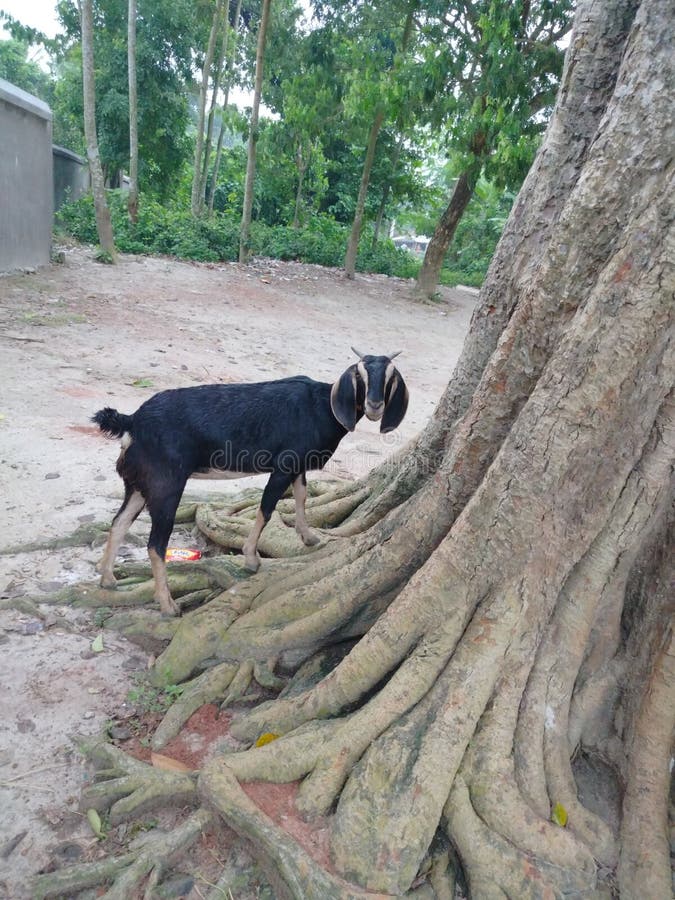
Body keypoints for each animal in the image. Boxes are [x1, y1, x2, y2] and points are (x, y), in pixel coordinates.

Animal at [92, 349, 408, 615]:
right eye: (359, 375)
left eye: (390, 378)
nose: (374, 405)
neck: (321, 406)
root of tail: (132, 421)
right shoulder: (283, 464)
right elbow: (266, 509)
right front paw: (251, 559)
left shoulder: (298, 465)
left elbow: (302, 495)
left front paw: (308, 537)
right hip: (165, 485)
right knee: (155, 544)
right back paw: (169, 605)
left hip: (138, 484)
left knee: (119, 523)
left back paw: (108, 578)